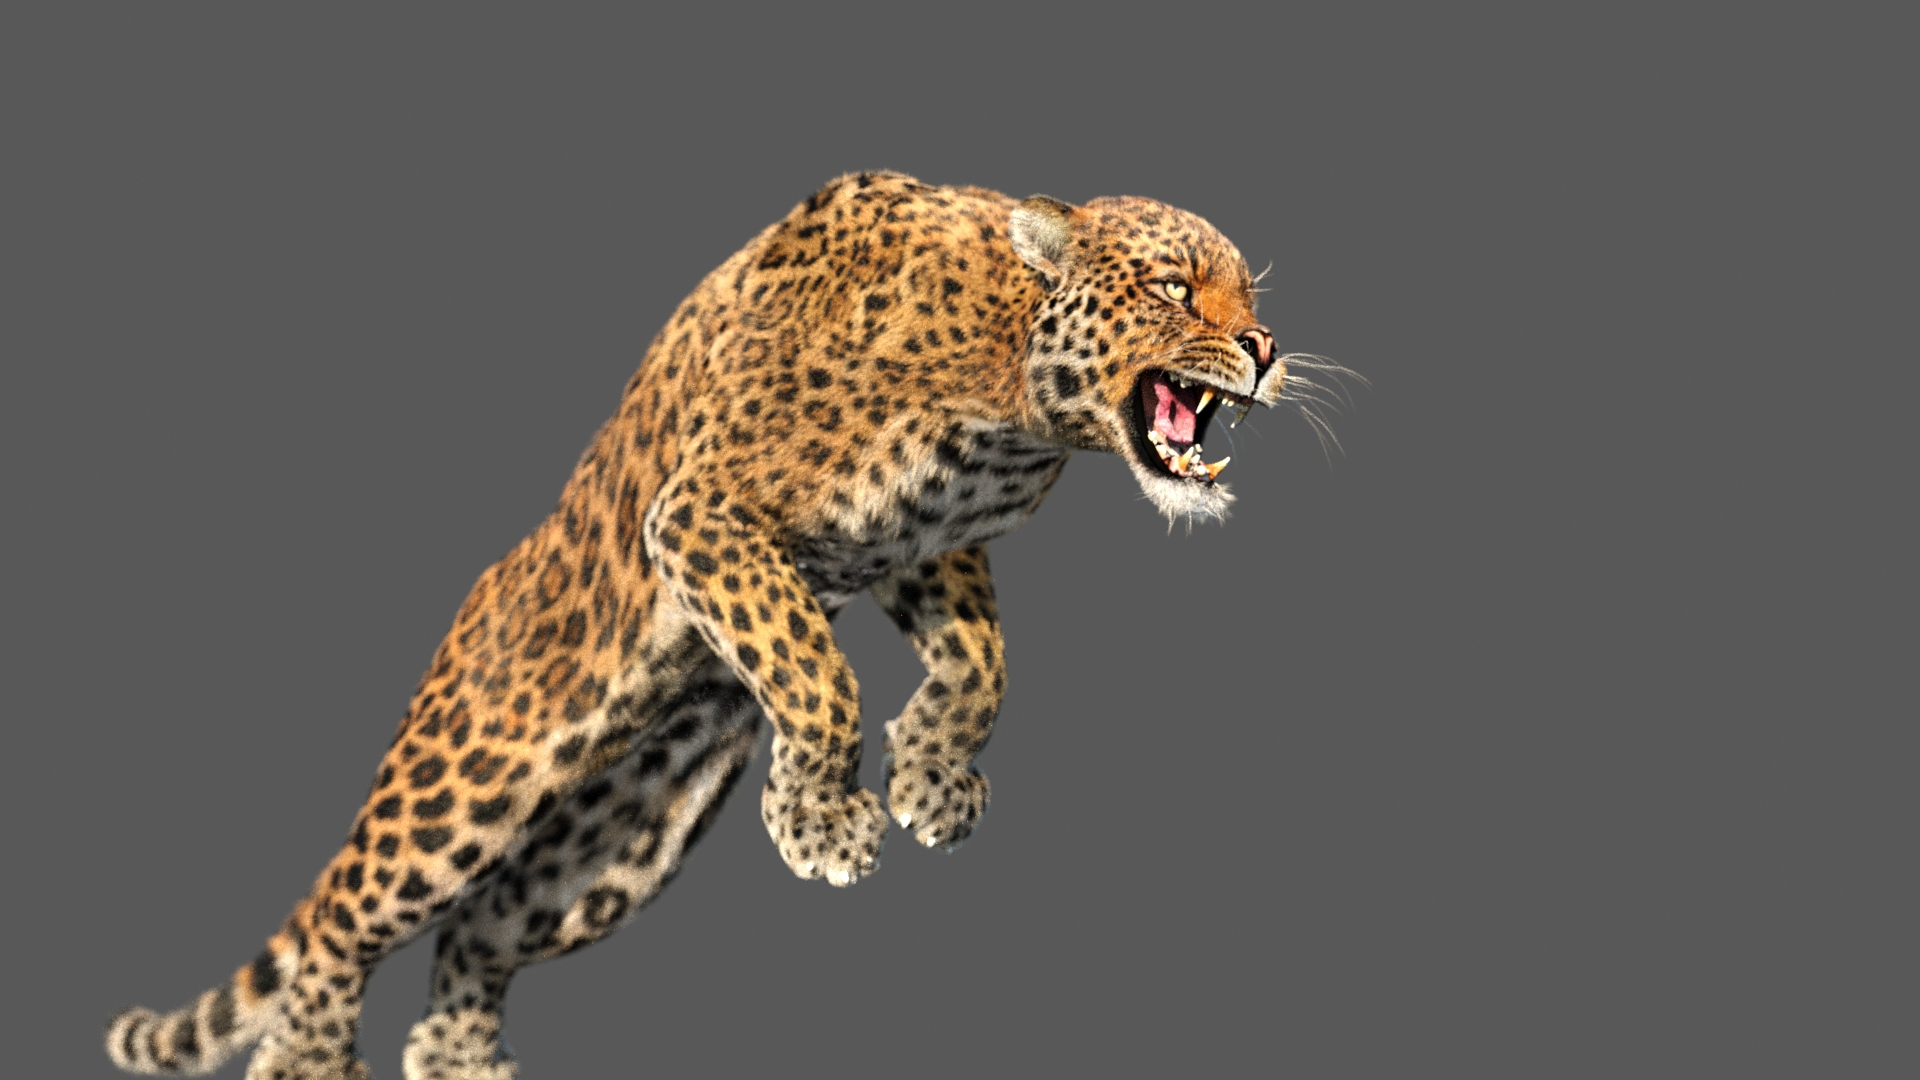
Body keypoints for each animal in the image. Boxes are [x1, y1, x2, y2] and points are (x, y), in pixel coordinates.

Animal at [104, 171, 1352, 1079]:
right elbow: (816, 668)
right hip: (469, 780)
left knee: (477, 932)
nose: (1265, 349)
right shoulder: (706, 511)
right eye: (1178, 289)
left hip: (613, 847)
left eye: (1250, 295)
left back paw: (460, 1060)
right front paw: (824, 821)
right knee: (342, 923)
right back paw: (313, 1061)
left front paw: (932, 780)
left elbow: (983, 663)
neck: (1010, 389)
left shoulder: (923, 545)